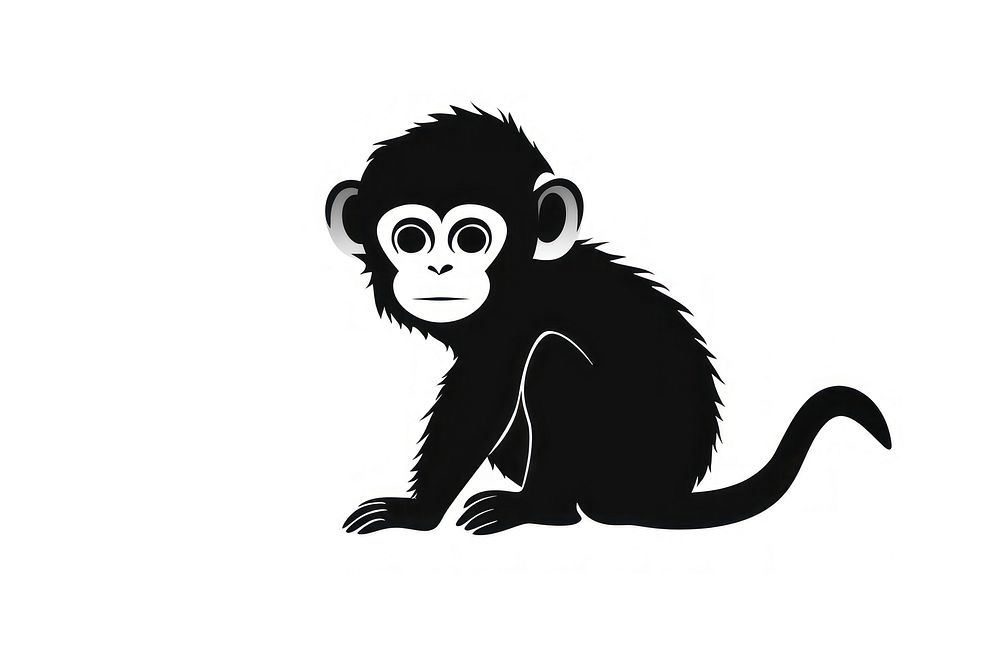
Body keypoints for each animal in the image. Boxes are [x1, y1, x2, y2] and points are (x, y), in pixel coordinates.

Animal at [326, 106, 890, 535]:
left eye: (470, 238)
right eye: (411, 238)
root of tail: (663, 496)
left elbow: (483, 398)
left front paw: (417, 513)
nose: (438, 267)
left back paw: (541, 509)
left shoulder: (515, 313)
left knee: (552, 360)